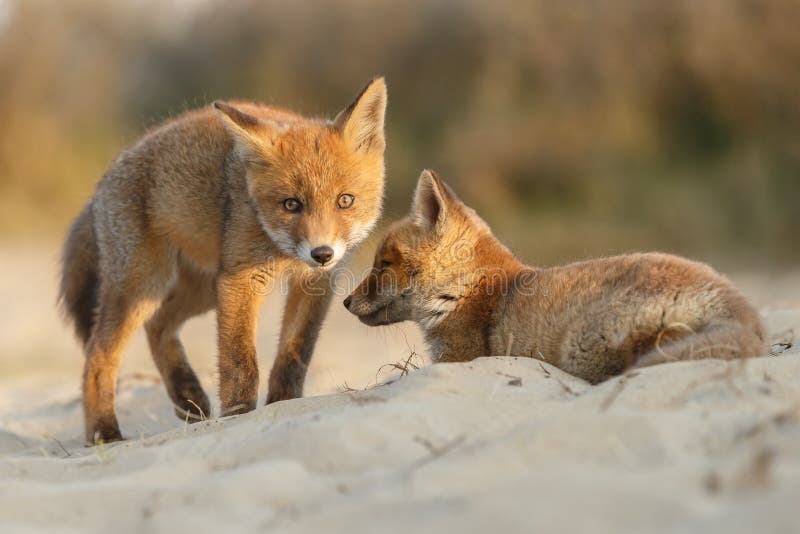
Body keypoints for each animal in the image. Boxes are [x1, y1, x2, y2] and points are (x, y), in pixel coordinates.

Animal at [60, 78, 388, 444]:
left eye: (345, 201)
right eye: (291, 204)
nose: (322, 253)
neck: (281, 251)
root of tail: (107, 174)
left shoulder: (316, 283)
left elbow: (294, 355)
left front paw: (284, 404)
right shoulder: (240, 279)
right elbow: (239, 359)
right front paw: (238, 415)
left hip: (201, 288)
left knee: (158, 324)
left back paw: (187, 397)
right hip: (145, 284)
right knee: (98, 356)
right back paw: (105, 432)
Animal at [344, 170, 768, 382]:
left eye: (383, 264)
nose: (346, 302)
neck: (468, 289)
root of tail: (740, 306)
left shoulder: (456, 359)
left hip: (582, 343)